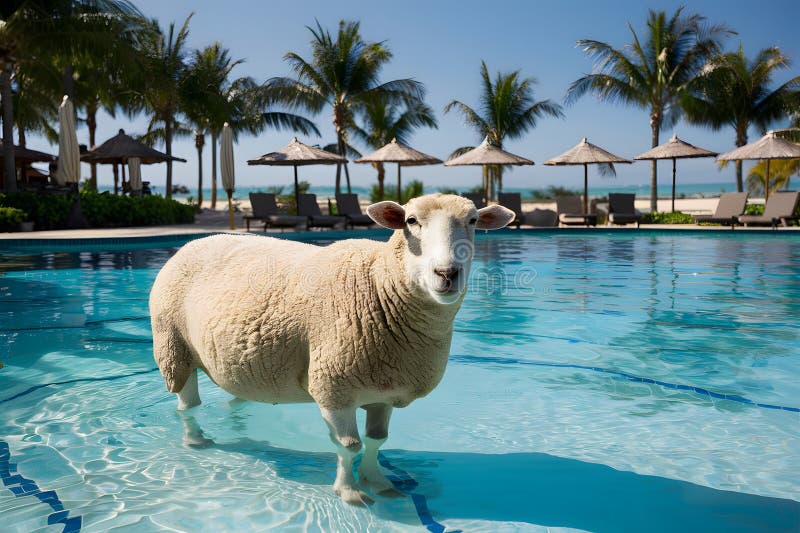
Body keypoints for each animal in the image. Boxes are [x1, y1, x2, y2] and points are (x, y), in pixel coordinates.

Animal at [149, 193, 515, 505]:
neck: (380, 283)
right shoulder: (334, 387)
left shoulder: (383, 389)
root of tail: (191, 243)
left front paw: (378, 481)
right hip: (173, 344)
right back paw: (197, 442)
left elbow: (376, 441)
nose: (447, 274)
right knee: (187, 404)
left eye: (473, 220)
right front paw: (349, 492)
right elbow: (348, 446)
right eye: (410, 221)